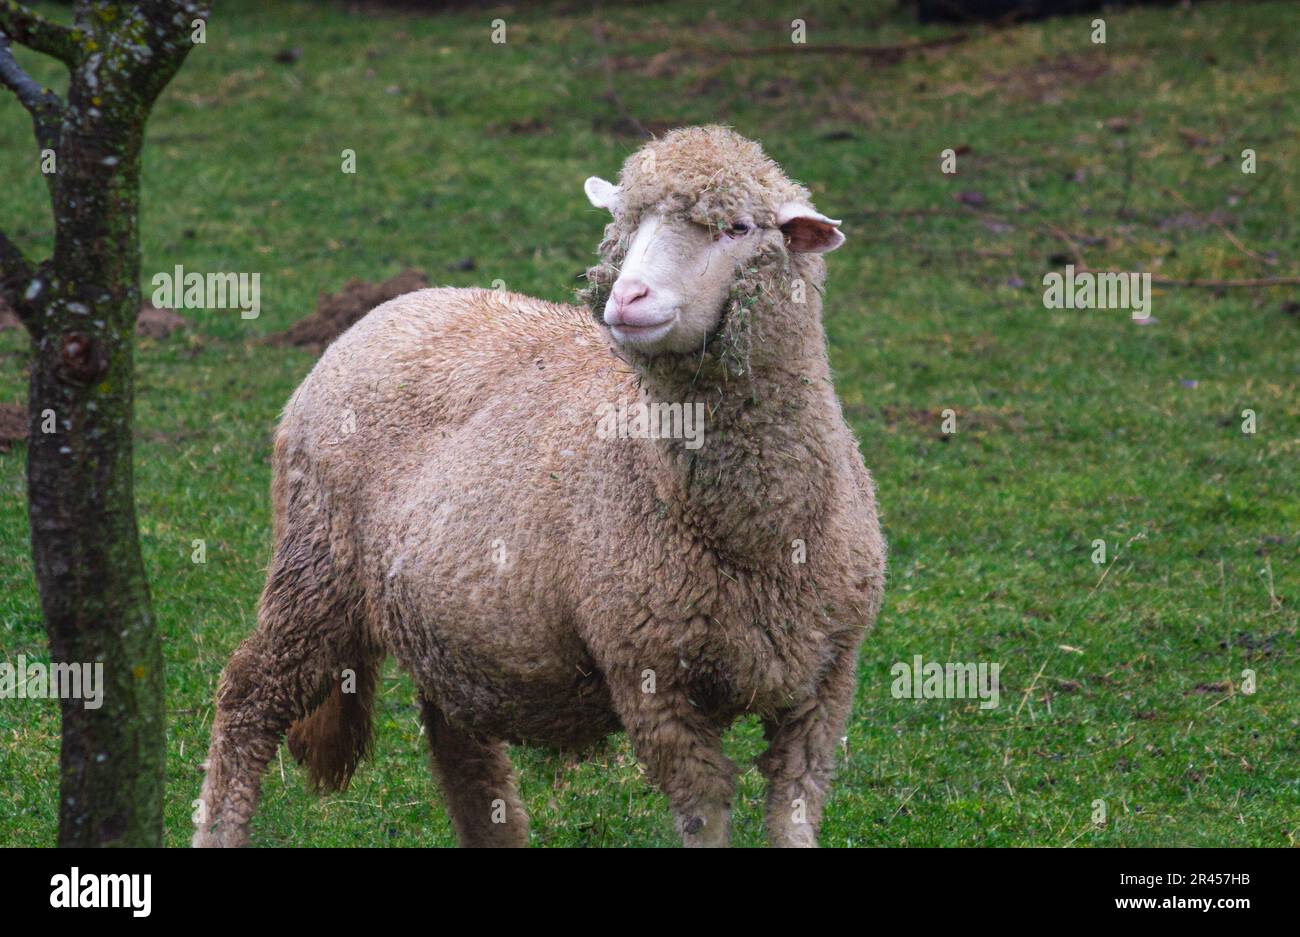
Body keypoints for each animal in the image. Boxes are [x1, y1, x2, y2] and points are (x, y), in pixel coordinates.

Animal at [193, 125, 886, 848]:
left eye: (738, 227)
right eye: (625, 226)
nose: (627, 299)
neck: (759, 541)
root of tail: (392, 307)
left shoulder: (826, 683)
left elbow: (792, 813)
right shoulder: (652, 681)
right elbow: (705, 813)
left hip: (443, 621)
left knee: (458, 746)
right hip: (316, 567)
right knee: (248, 696)